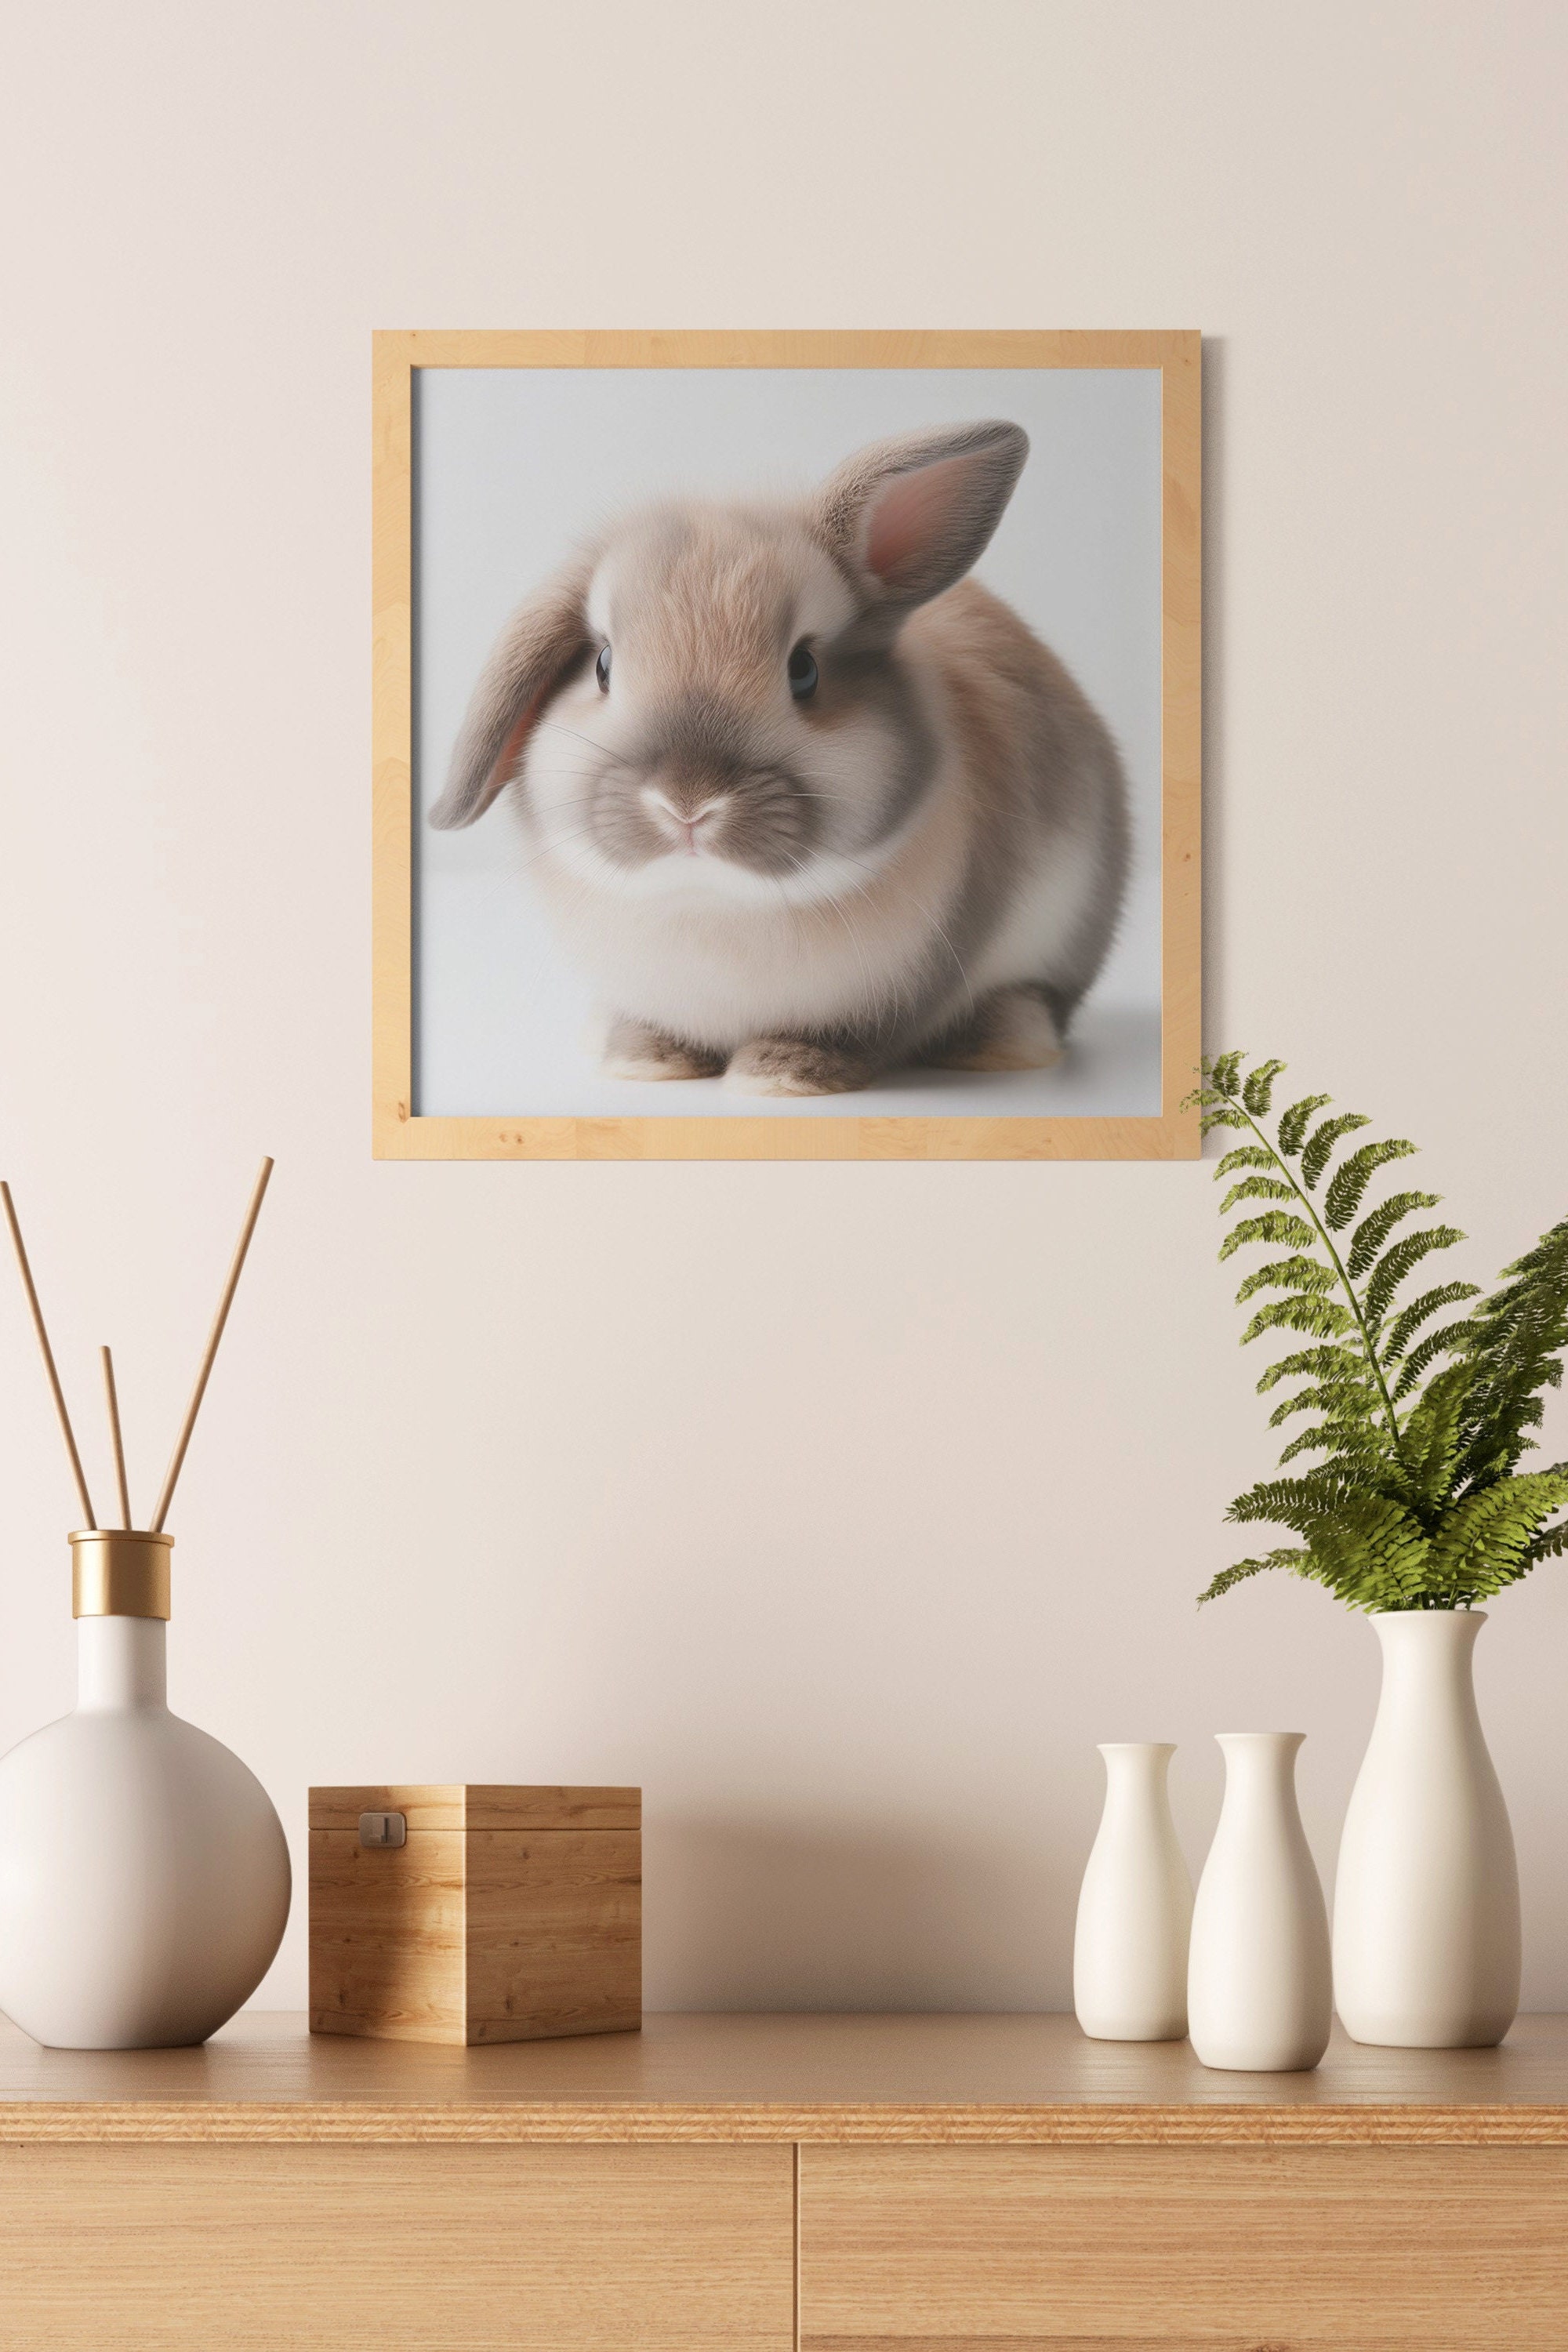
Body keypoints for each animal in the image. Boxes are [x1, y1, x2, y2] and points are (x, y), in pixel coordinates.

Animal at [429, 419, 1130, 1096]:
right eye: (602, 665)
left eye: (804, 671)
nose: (686, 804)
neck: (712, 903)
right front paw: (644, 1060)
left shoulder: (910, 981)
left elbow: (854, 1036)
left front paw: (783, 1074)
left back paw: (1003, 1040)